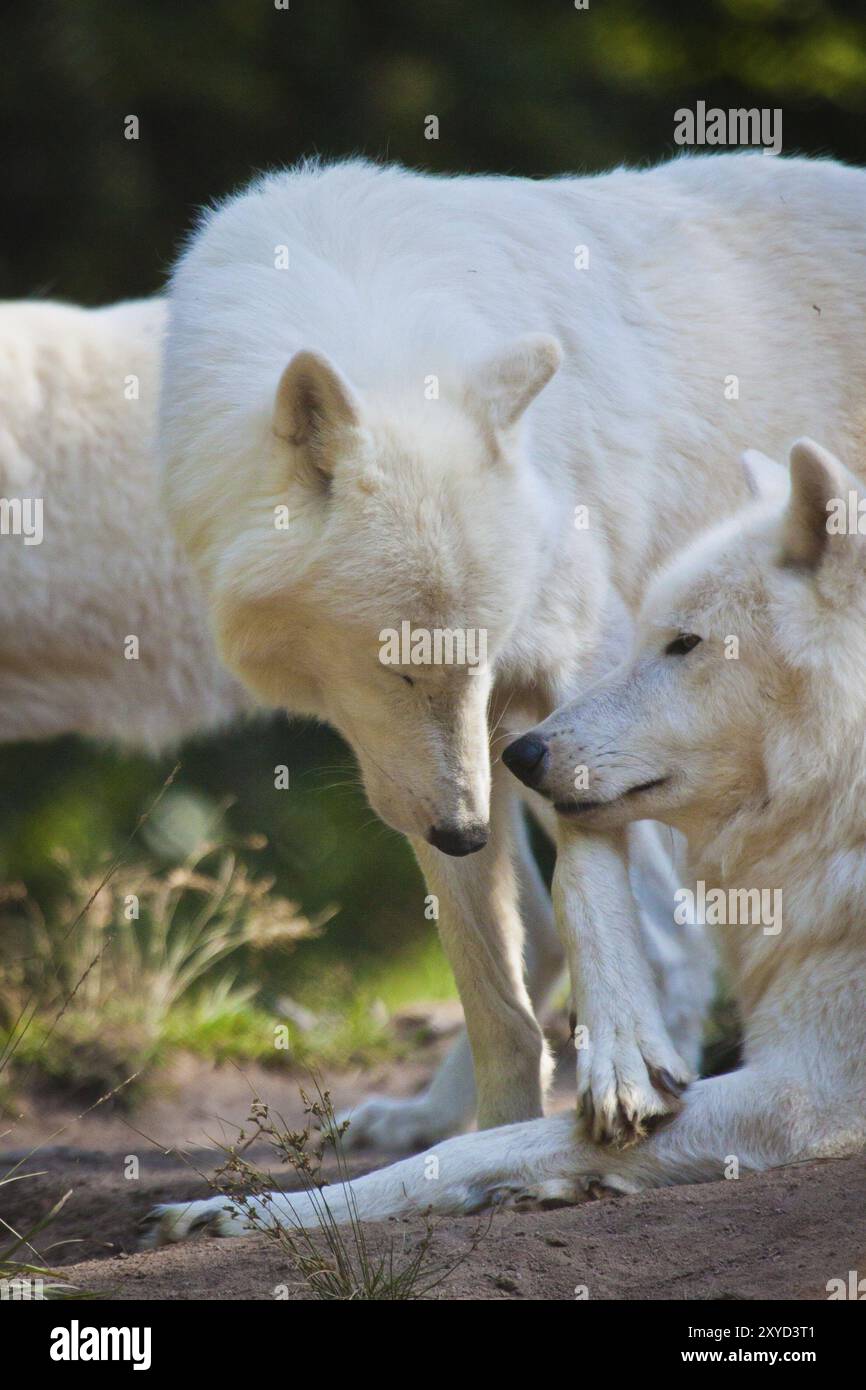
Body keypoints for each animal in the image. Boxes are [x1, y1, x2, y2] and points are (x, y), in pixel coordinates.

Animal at [144, 436, 866, 1242]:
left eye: (685, 644)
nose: (522, 753)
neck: (847, 791)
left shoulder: (805, 1089)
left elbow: (479, 1146)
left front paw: (258, 1209)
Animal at [157, 152, 866, 1150]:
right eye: (399, 666)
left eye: (475, 653)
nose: (465, 831)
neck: (373, 309)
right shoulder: (423, 760)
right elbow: (487, 972)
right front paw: (499, 1123)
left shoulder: (578, 656)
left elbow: (586, 883)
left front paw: (621, 1062)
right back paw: (430, 1117)